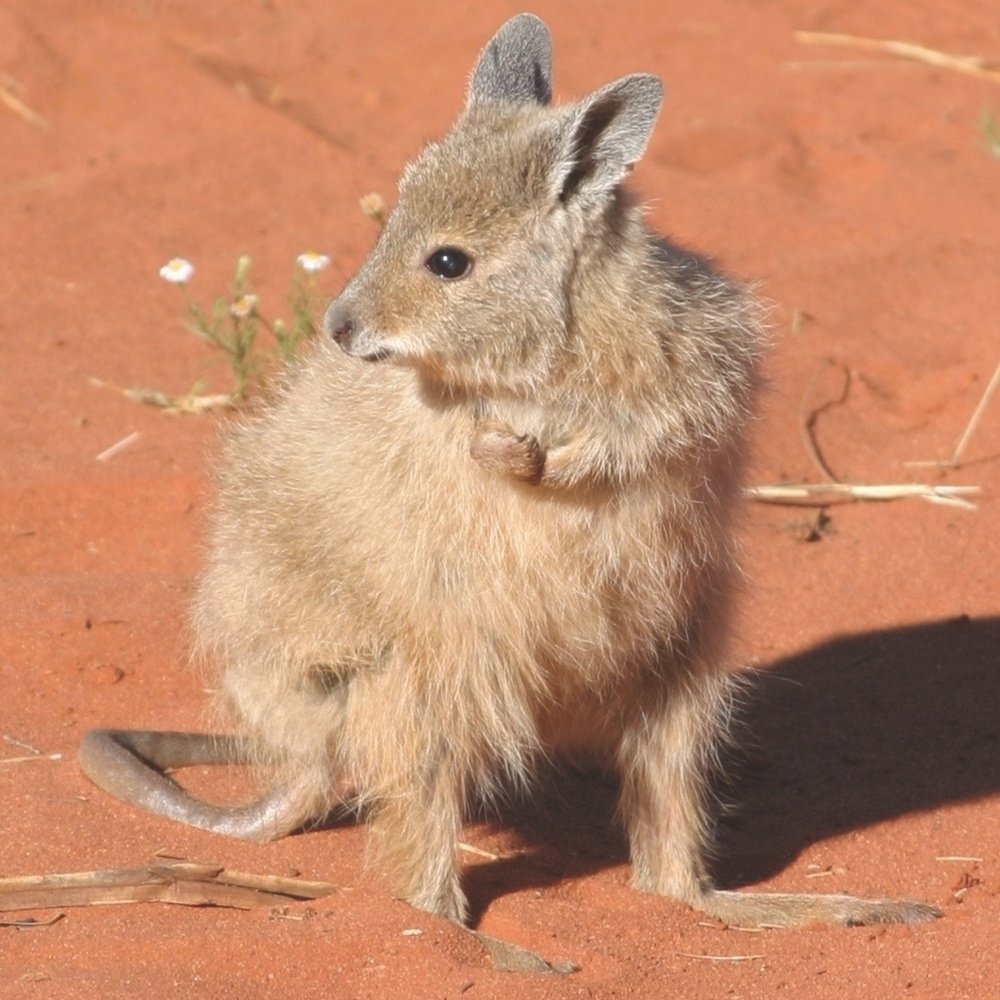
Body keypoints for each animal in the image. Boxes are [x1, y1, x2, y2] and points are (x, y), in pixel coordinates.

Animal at [80, 12, 939, 971]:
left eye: (449, 261)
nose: (339, 328)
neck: (547, 356)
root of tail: (308, 752)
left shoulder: (697, 386)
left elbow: (638, 440)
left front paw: (545, 458)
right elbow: (487, 445)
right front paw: (509, 451)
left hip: (679, 678)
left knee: (665, 870)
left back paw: (787, 911)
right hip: (419, 684)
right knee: (419, 878)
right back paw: (504, 954)